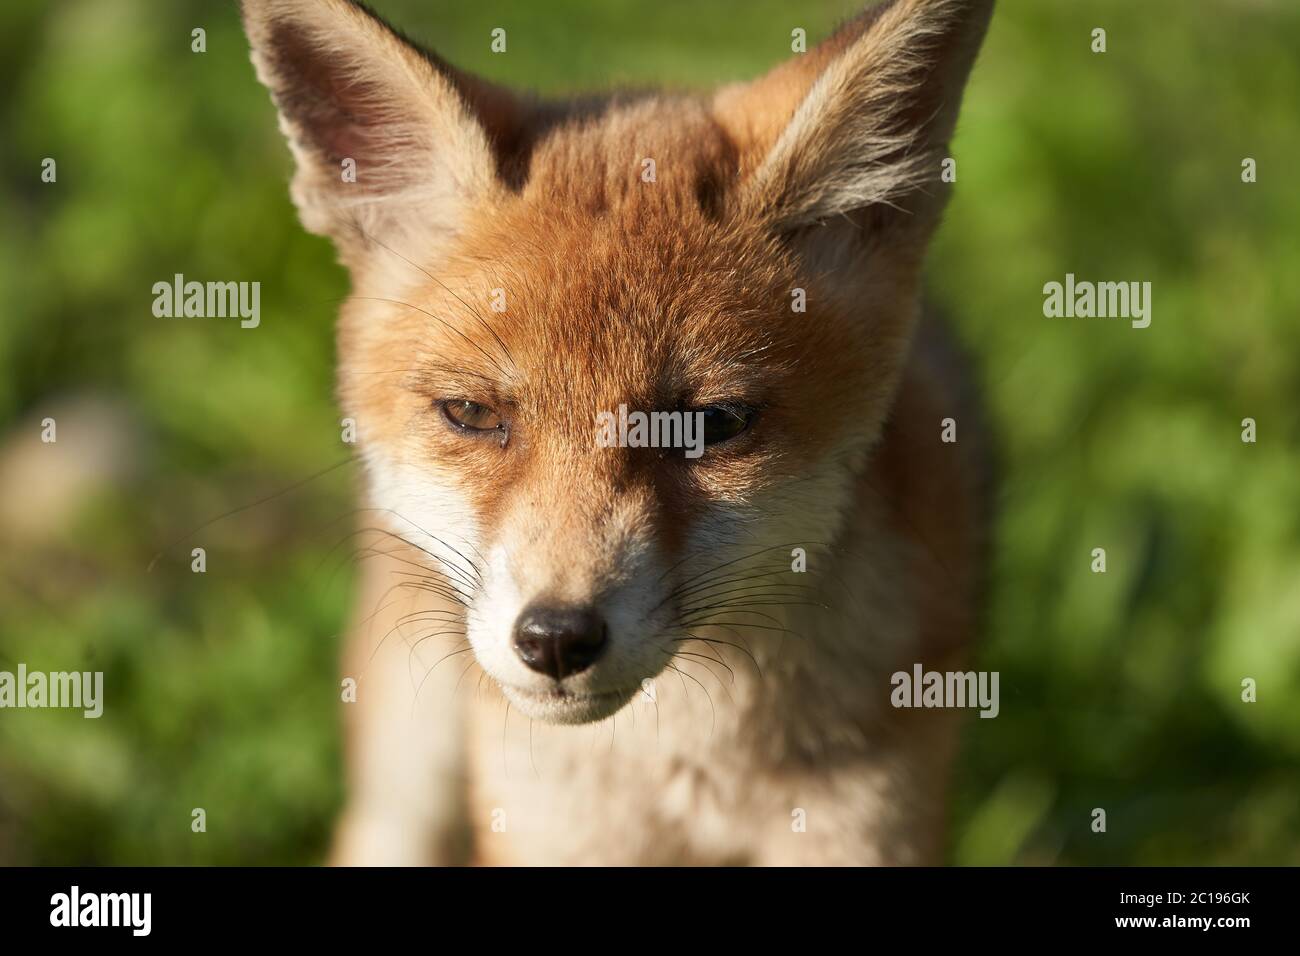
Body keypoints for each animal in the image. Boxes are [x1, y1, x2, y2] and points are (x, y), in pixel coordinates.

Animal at [242, 0, 994, 865]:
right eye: (472, 414)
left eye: (709, 424)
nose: (556, 639)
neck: (683, 770)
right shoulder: (552, 828)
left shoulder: (865, 824)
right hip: (412, 749)